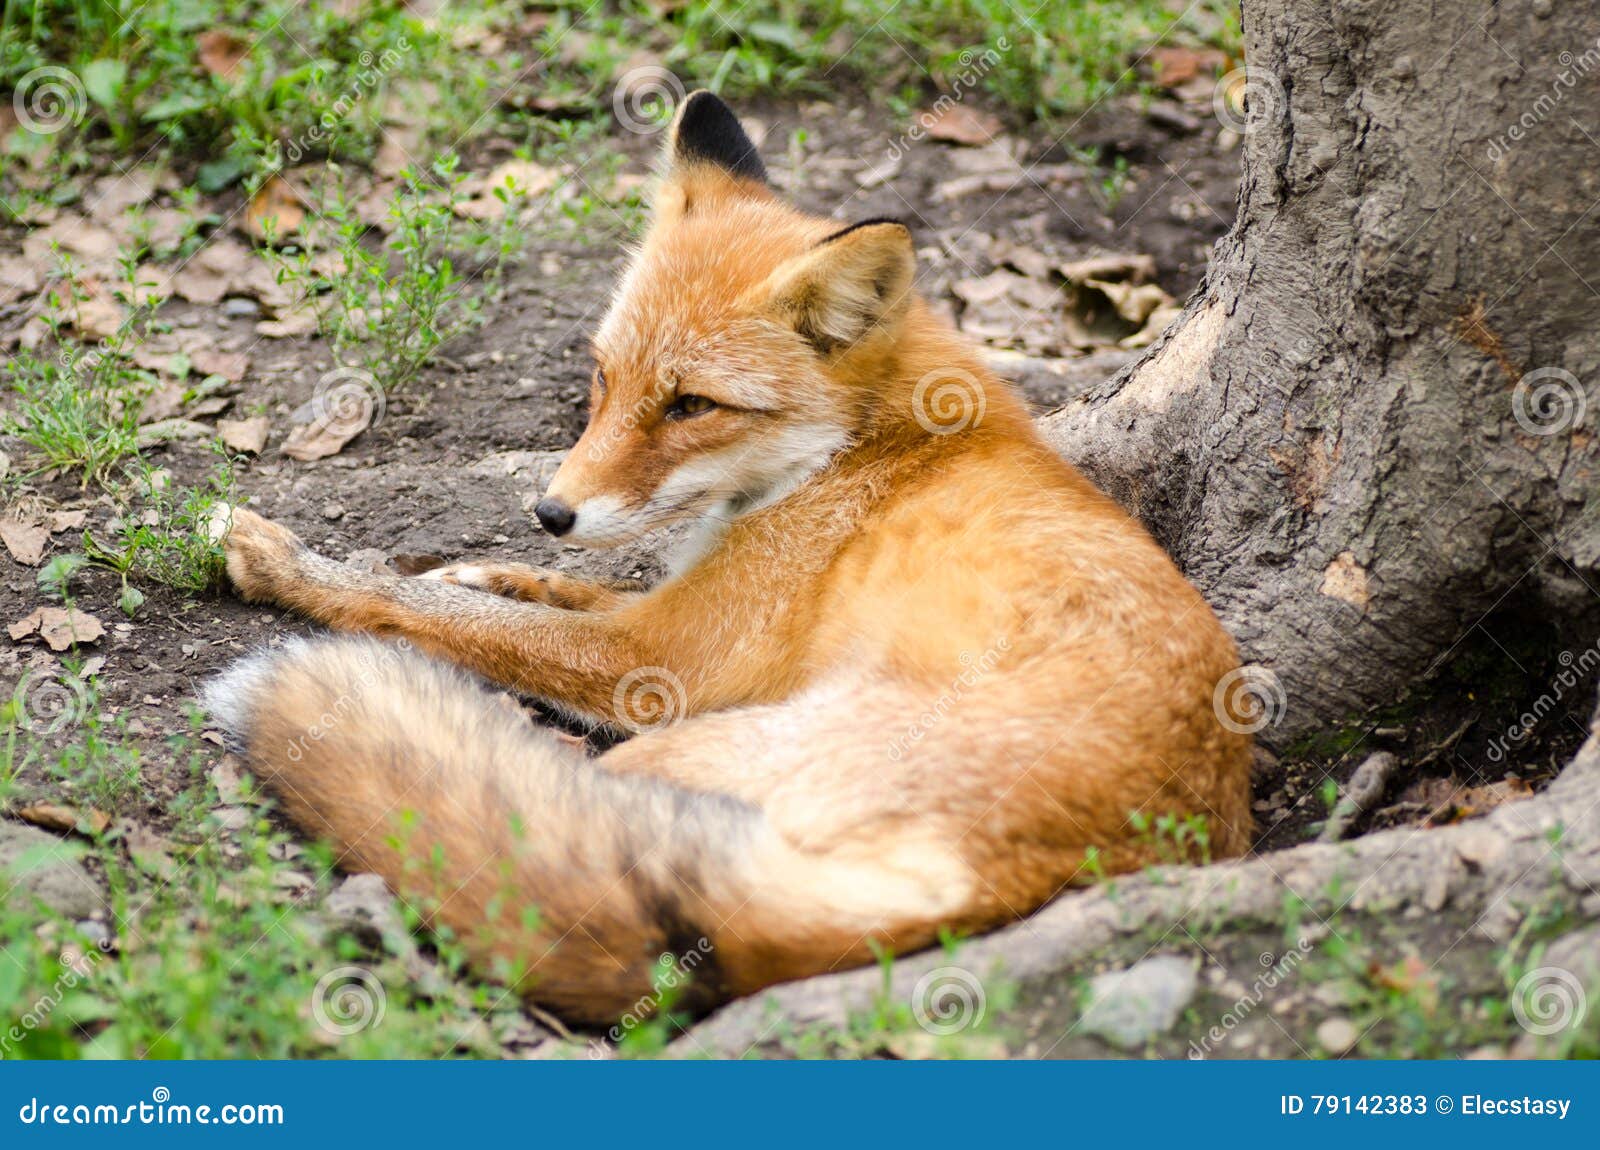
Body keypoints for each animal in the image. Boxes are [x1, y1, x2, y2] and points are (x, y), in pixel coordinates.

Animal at [203, 91, 1252, 1027]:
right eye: (602, 379)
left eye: (691, 405)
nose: (549, 509)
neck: (863, 449)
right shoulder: (670, 605)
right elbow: (541, 595)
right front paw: (481, 569)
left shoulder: (662, 660)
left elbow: (465, 619)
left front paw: (298, 565)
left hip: (681, 748)